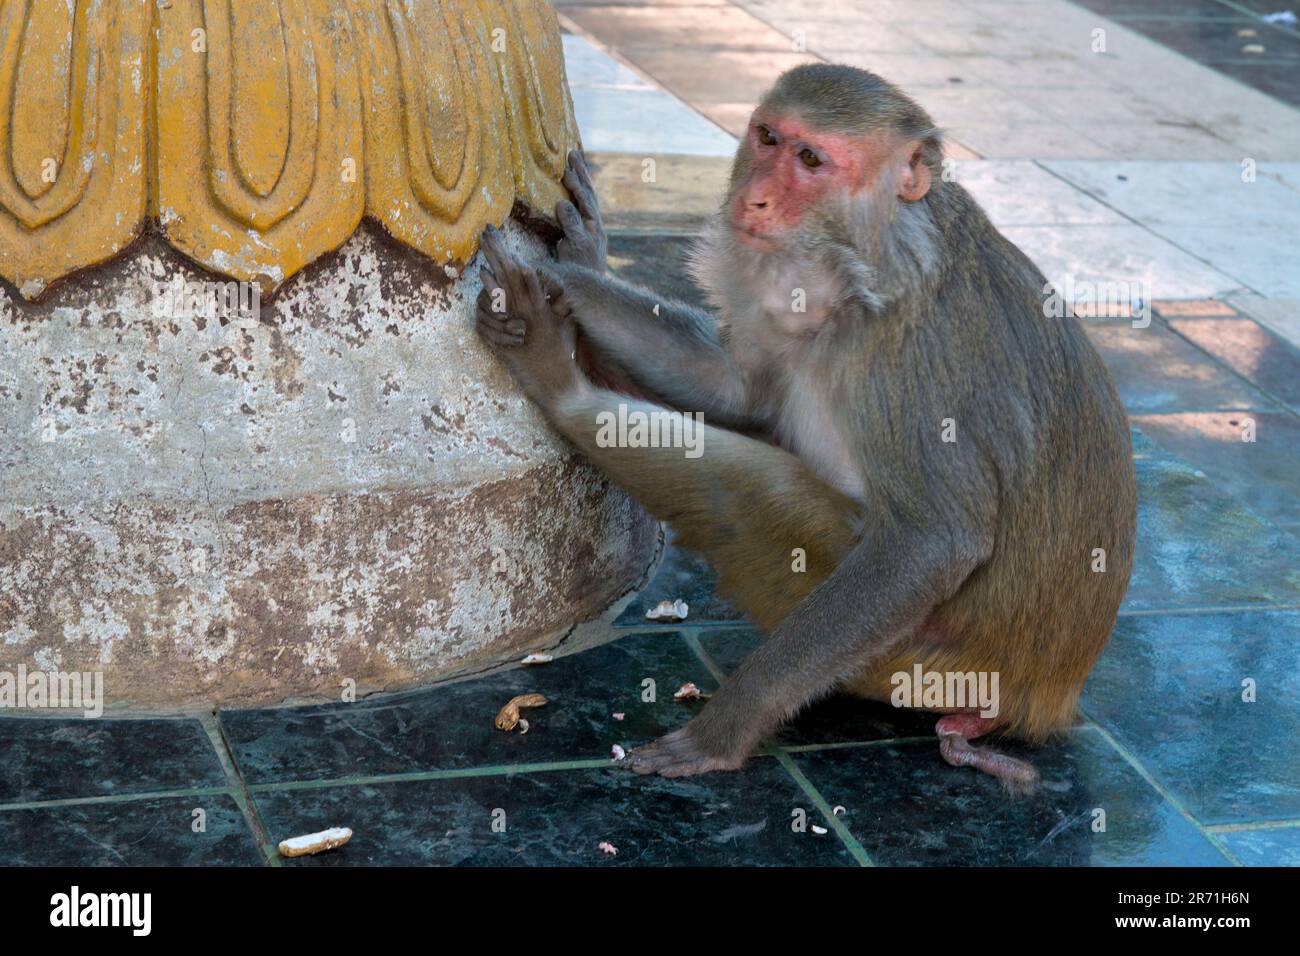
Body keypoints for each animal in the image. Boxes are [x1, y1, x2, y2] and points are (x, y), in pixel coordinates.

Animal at [474, 64, 1136, 792]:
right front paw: (584, 271)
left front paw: (724, 729)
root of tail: (1047, 694)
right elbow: (732, 387)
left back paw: (561, 384)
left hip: (913, 659)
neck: (870, 272)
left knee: (759, 487)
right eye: (768, 138)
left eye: (812, 160)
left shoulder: (918, 362)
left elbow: (934, 541)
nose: (755, 199)